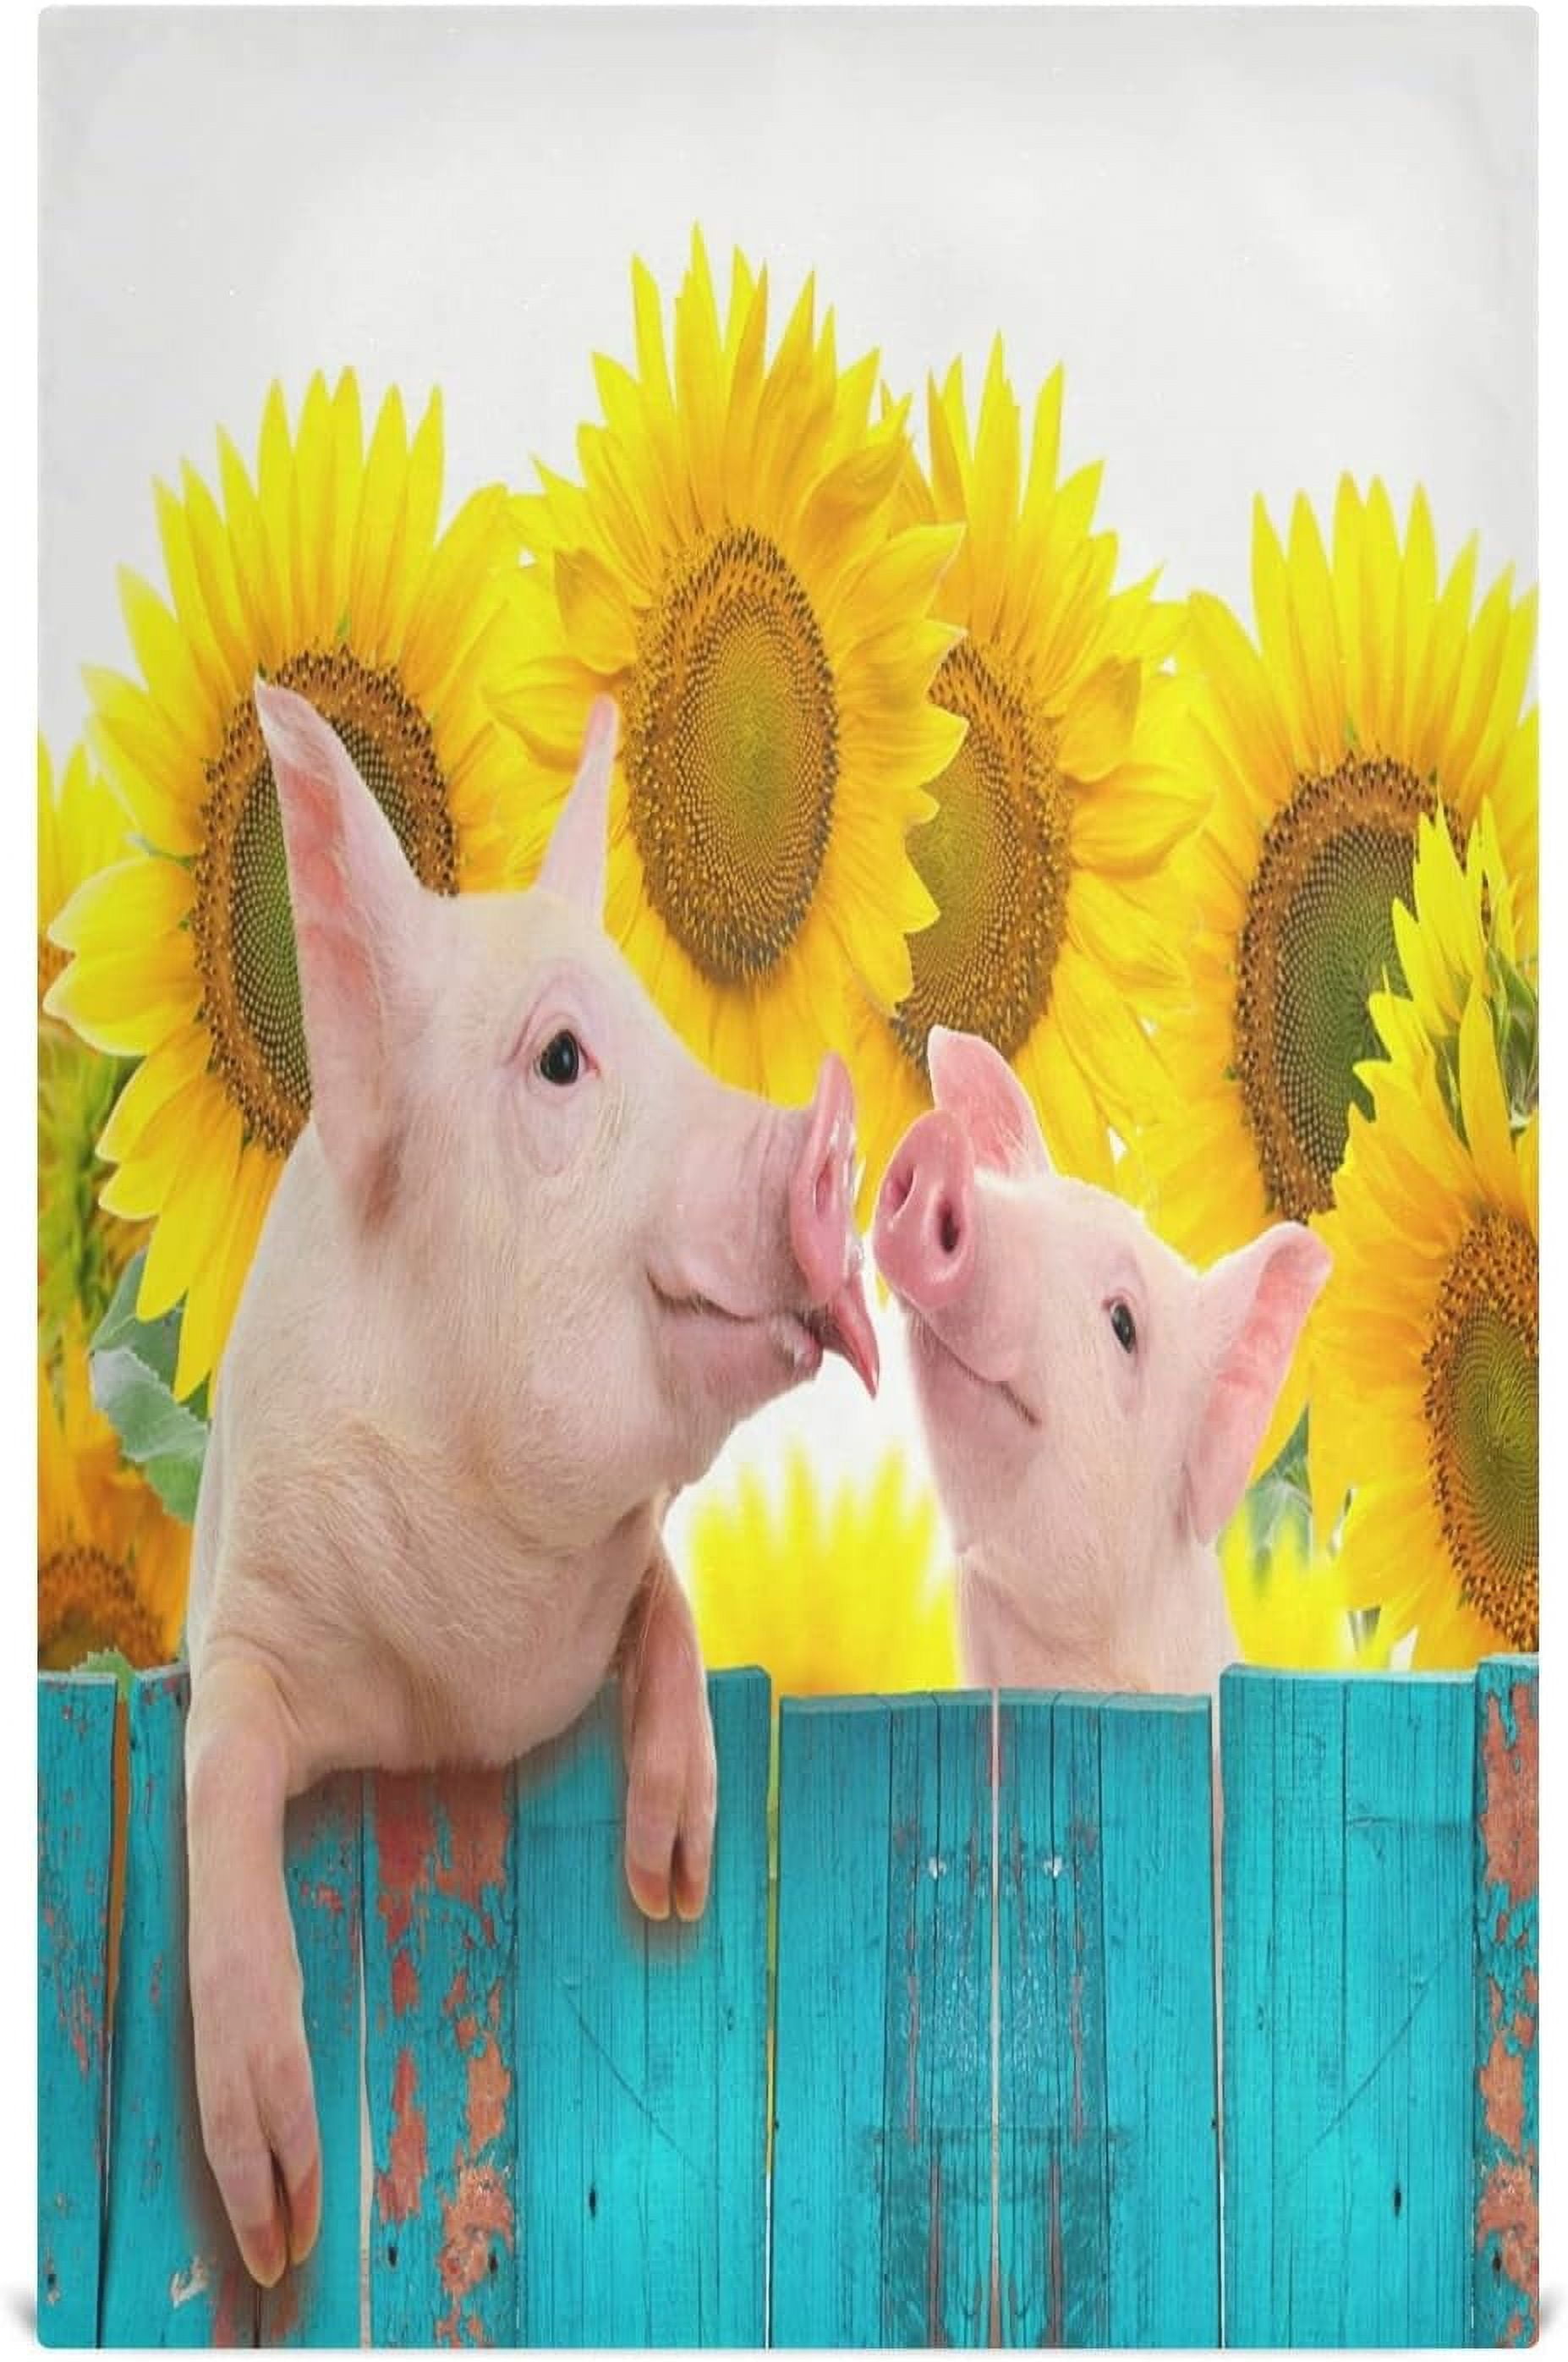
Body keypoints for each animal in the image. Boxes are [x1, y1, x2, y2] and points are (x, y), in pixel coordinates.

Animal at [183, 682, 878, 2288]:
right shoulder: (243, 1619)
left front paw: (669, 1885)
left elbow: (669, 1607)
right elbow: (222, 1761)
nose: (828, 1124)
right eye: (561, 1059)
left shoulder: (615, 1581)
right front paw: (280, 2230)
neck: (462, 1697)